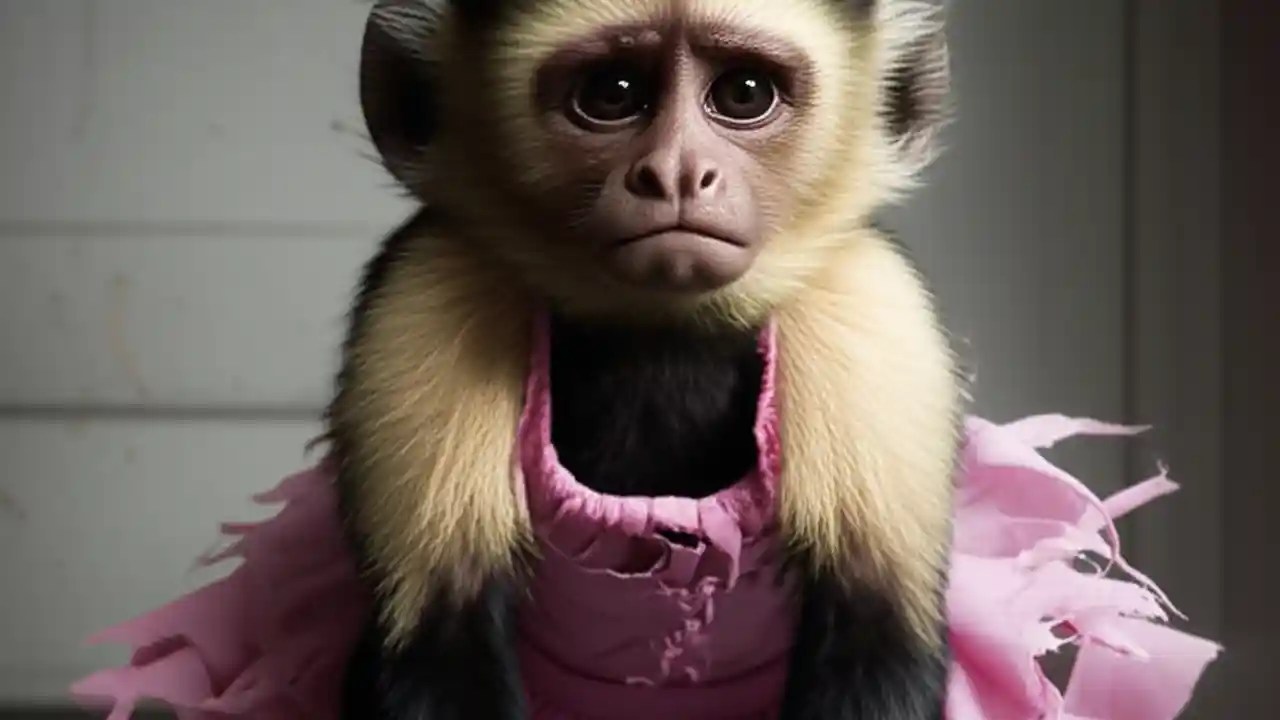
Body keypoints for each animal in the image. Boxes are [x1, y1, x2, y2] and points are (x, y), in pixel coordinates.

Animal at [329, 0, 961, 718]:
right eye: (613, 93)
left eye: (744, 94)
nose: (676, 173)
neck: (663, 335)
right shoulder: (426, 289)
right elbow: (434, 651)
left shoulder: (873, 304)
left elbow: (879, 644)